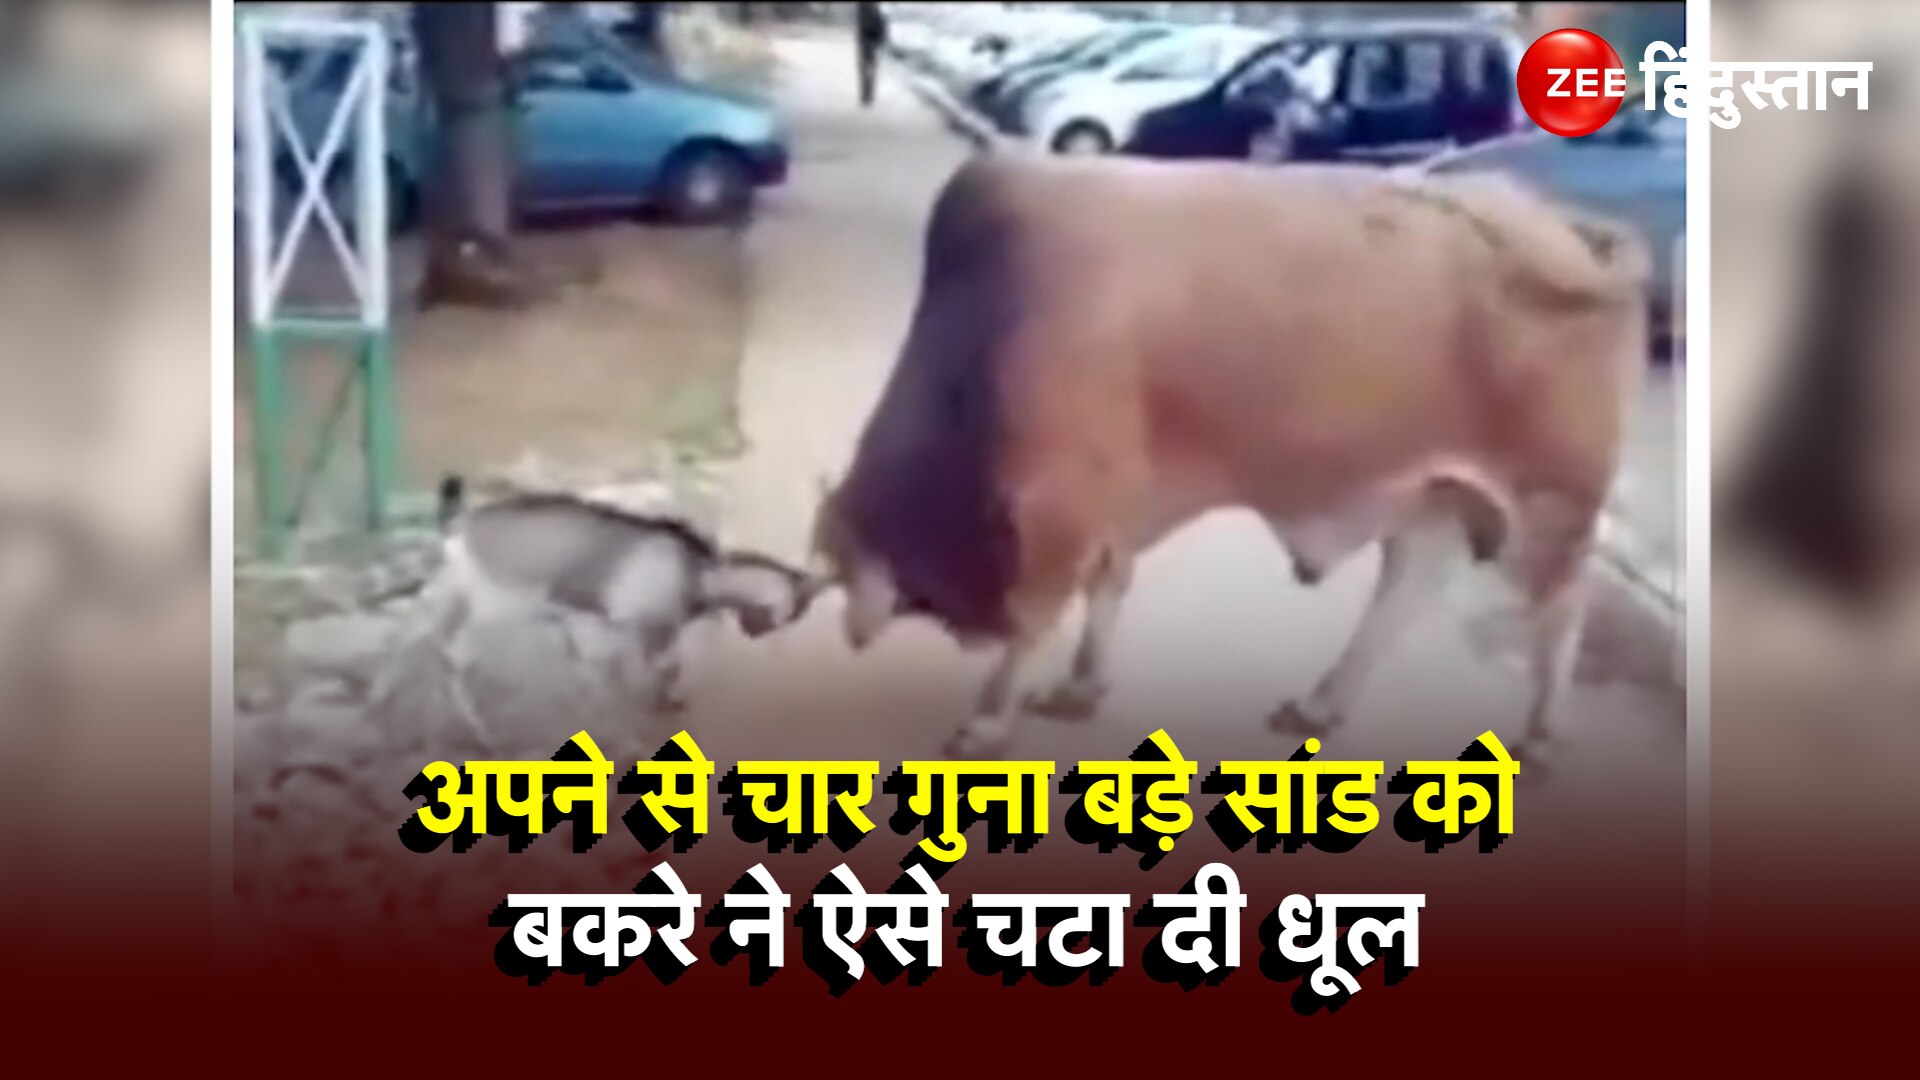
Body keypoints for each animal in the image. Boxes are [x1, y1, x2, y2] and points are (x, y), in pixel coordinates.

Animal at [809, 153, 1652, 767]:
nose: (847, 622)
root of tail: (1575, 230)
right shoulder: (1119, 507)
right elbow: (1108, 592)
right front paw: (1081, 689)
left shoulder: (1058, 513)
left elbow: (1031, 622)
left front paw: (988, 723)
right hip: (1436, 495)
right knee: (1408, 591)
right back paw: (1319, 705)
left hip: (1551, 503)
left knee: (1560, 610)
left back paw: (1538, 738)